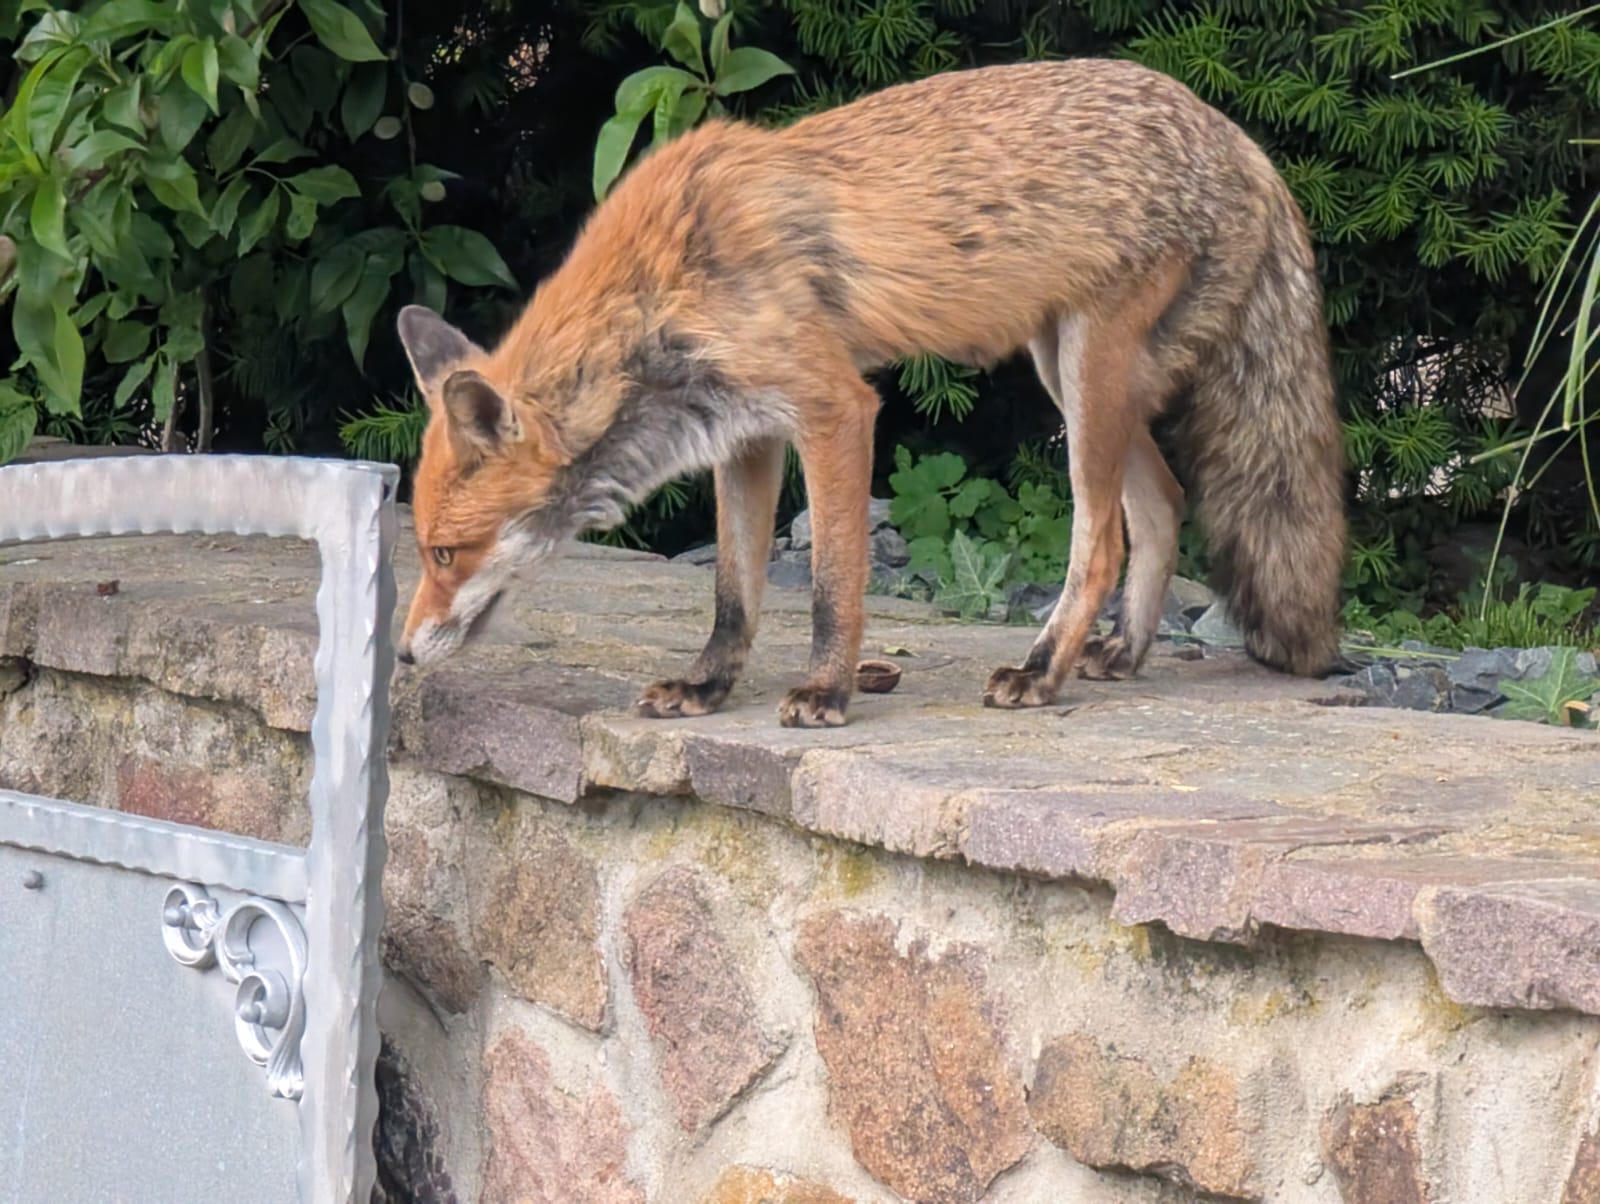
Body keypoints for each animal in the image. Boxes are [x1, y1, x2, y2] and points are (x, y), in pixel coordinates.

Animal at [392, 57, 1348, 728]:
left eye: (444, 553)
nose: (400, 657)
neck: (663, 281)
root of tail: (1237, 136)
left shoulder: (834, 408)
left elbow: (829, 582)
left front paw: (826, 689)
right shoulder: (744, 432)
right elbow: (733, 592)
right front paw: (707, 686)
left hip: (1088, 373)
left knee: (1103, 539)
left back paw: (1041, 670)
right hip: (1070, 372)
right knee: (1164, 503)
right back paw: (1119, 653)